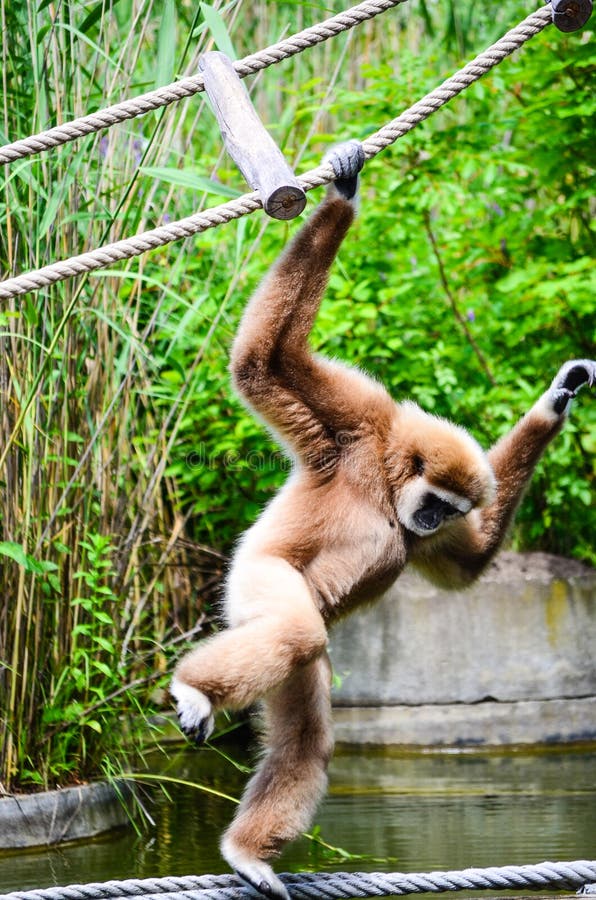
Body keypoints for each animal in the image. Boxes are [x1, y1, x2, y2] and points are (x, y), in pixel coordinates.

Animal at [170, 141, 595, 900]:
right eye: (436, 501)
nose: (426, 519)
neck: (390, 481)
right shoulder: (354, 425)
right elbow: (262, 364)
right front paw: (343, 194)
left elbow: (467, 563)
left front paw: (558, 398)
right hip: (259, 584)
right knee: (296, 631)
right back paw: (196, 691)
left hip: (288, 651)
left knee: (306, 722)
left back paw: (247, 853)